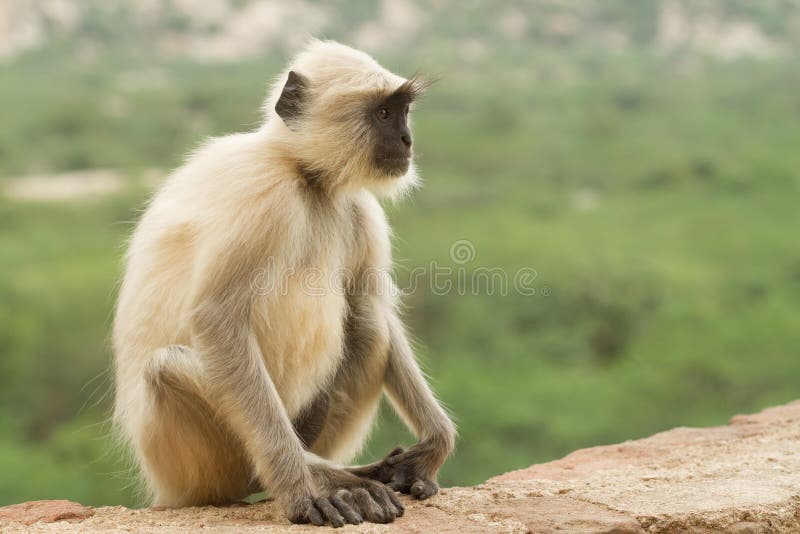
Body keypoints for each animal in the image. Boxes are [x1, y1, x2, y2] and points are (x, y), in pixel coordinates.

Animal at [112, 40, 456, 527]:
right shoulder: (264, 194)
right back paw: (329, 479)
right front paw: (300, 494)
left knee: (368, 325)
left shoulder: (356, 207)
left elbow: (367, 304)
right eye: (384, 113)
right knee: (165, 367)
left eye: (403, 111)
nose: (408, 140)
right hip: (186, 462)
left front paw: (435, 444)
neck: (305, 177)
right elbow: (217, 318)